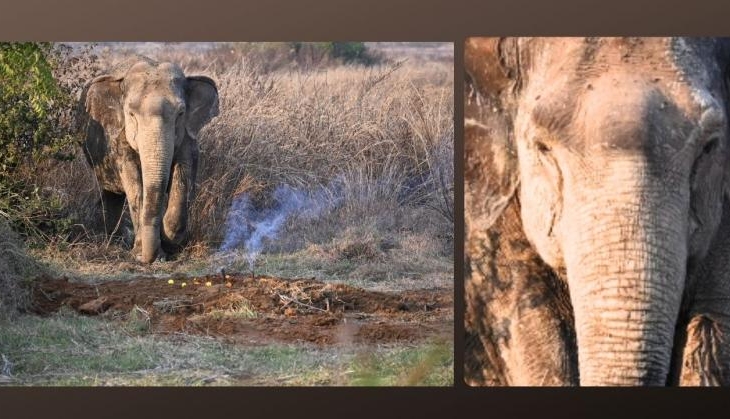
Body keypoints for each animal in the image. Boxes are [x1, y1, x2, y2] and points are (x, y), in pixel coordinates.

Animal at [81, 55, 219, 263]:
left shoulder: (187, 138)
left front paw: (168, 243)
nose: (151, 258)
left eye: (180, 113)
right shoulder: (118, 139)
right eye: (131, 114)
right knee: (110, 193)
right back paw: (113, 238)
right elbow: (134, 184)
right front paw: (141, 254)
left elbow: (183, 175)